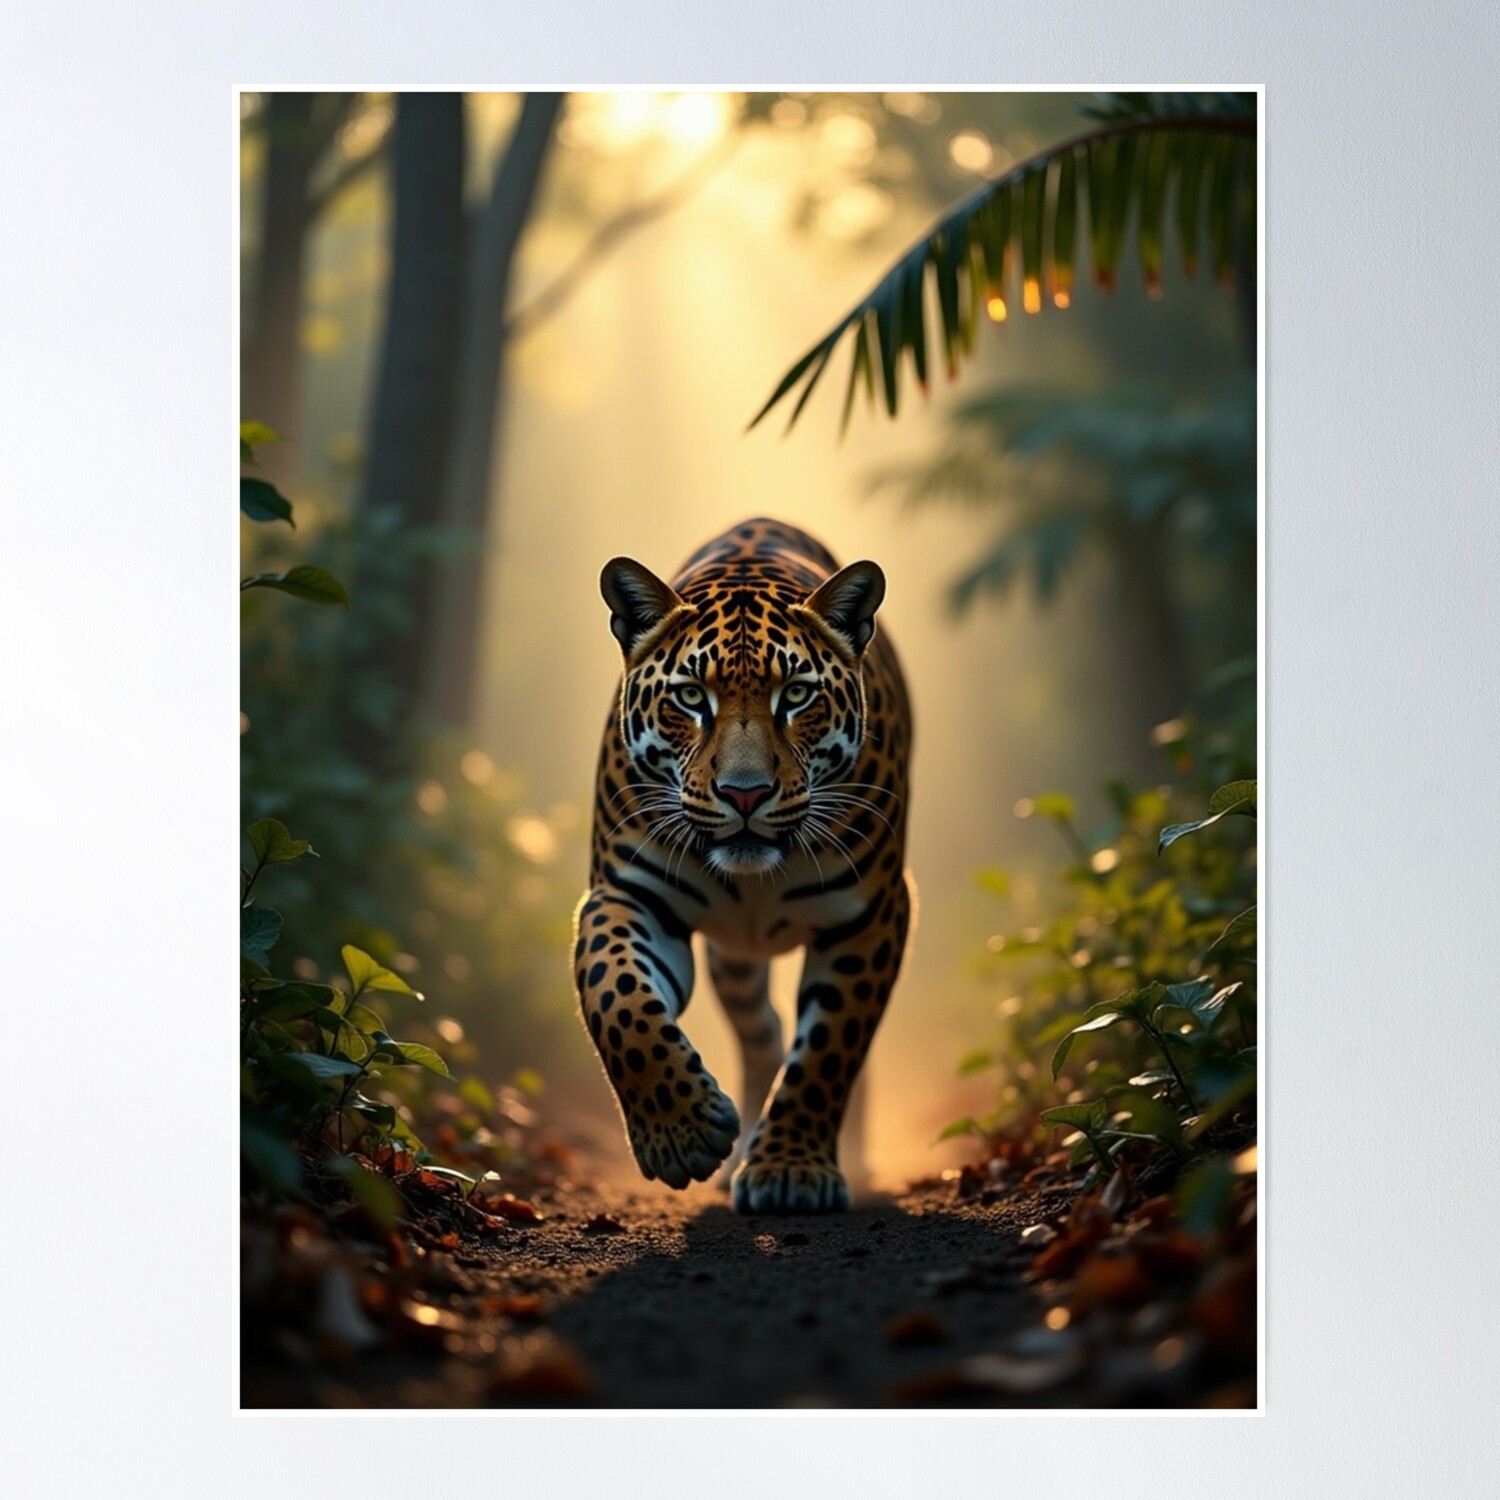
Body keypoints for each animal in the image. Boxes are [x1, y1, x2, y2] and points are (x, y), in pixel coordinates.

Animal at [571, 516, 913, 1214]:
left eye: (798, 695)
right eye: (689, 697)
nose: (746, 793)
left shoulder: (873, 914)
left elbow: (830, 1047)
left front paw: (791, 1170)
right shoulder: (626, 895)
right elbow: (615, 996)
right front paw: (682, 1133)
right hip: (733, 957)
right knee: (763, 1028)